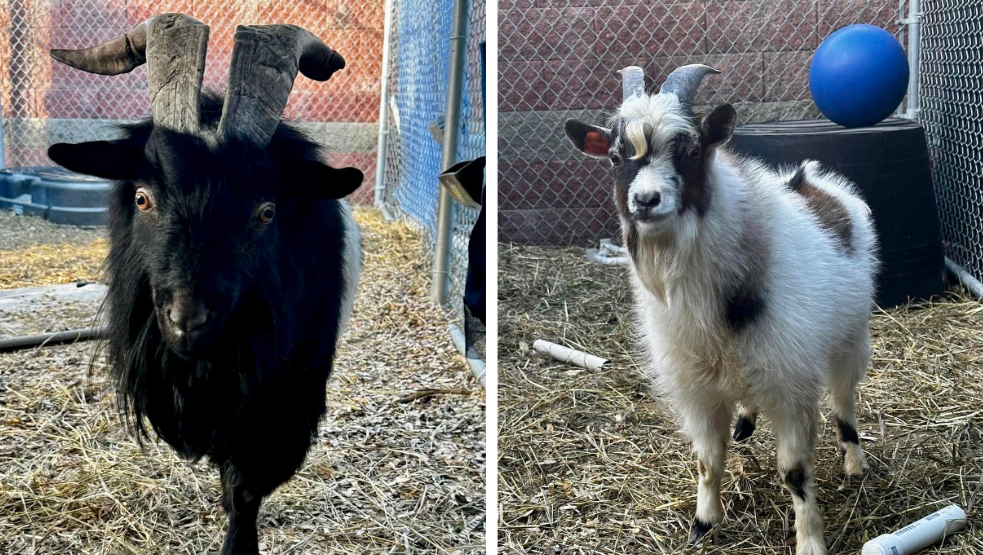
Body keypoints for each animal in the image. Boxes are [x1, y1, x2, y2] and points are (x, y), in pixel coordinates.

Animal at [564, 65, 879, 555]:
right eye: (615, 157)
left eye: (692, 150)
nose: (646, 201)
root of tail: (810, 179)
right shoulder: (697, 388)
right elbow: (707, 461)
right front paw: (703, 523)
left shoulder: (790, 386)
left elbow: (794, 473)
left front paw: (810, 540)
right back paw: (746, 422)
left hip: (851, 340)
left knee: (845, 403)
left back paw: (855, 463)